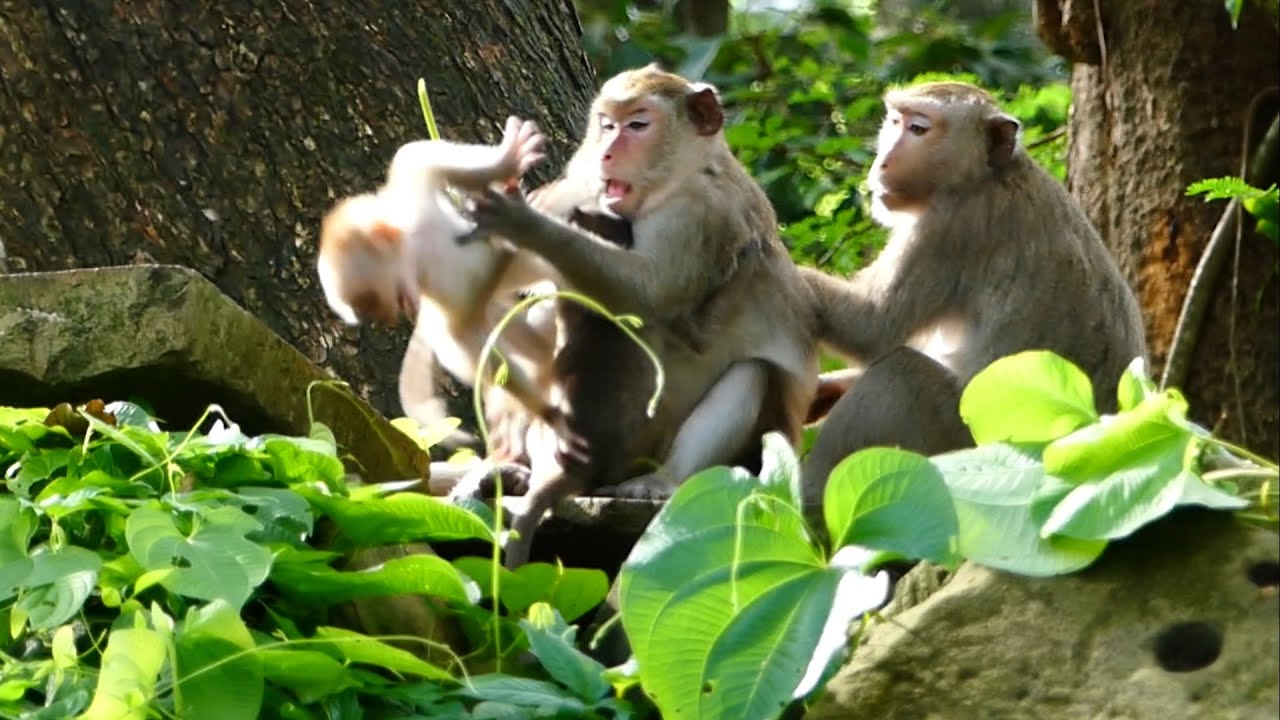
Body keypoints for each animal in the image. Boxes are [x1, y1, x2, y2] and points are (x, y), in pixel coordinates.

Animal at [468, 65, 819, 566]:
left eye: (638, 125)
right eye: (607, 124)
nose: (608, 151)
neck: (680, 176)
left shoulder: (699, 215)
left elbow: (644, 293)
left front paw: (523, 222)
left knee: (753, 373)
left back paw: (660, 481)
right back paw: (515, 468)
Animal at [799, 81, 1148, 503]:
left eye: (918, 129)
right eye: (894, 122)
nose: (881, 163)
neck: (989, 175)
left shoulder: (951, 226)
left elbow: (871, 326)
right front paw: (825, 390)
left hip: (968, 450)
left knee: (903, 375)